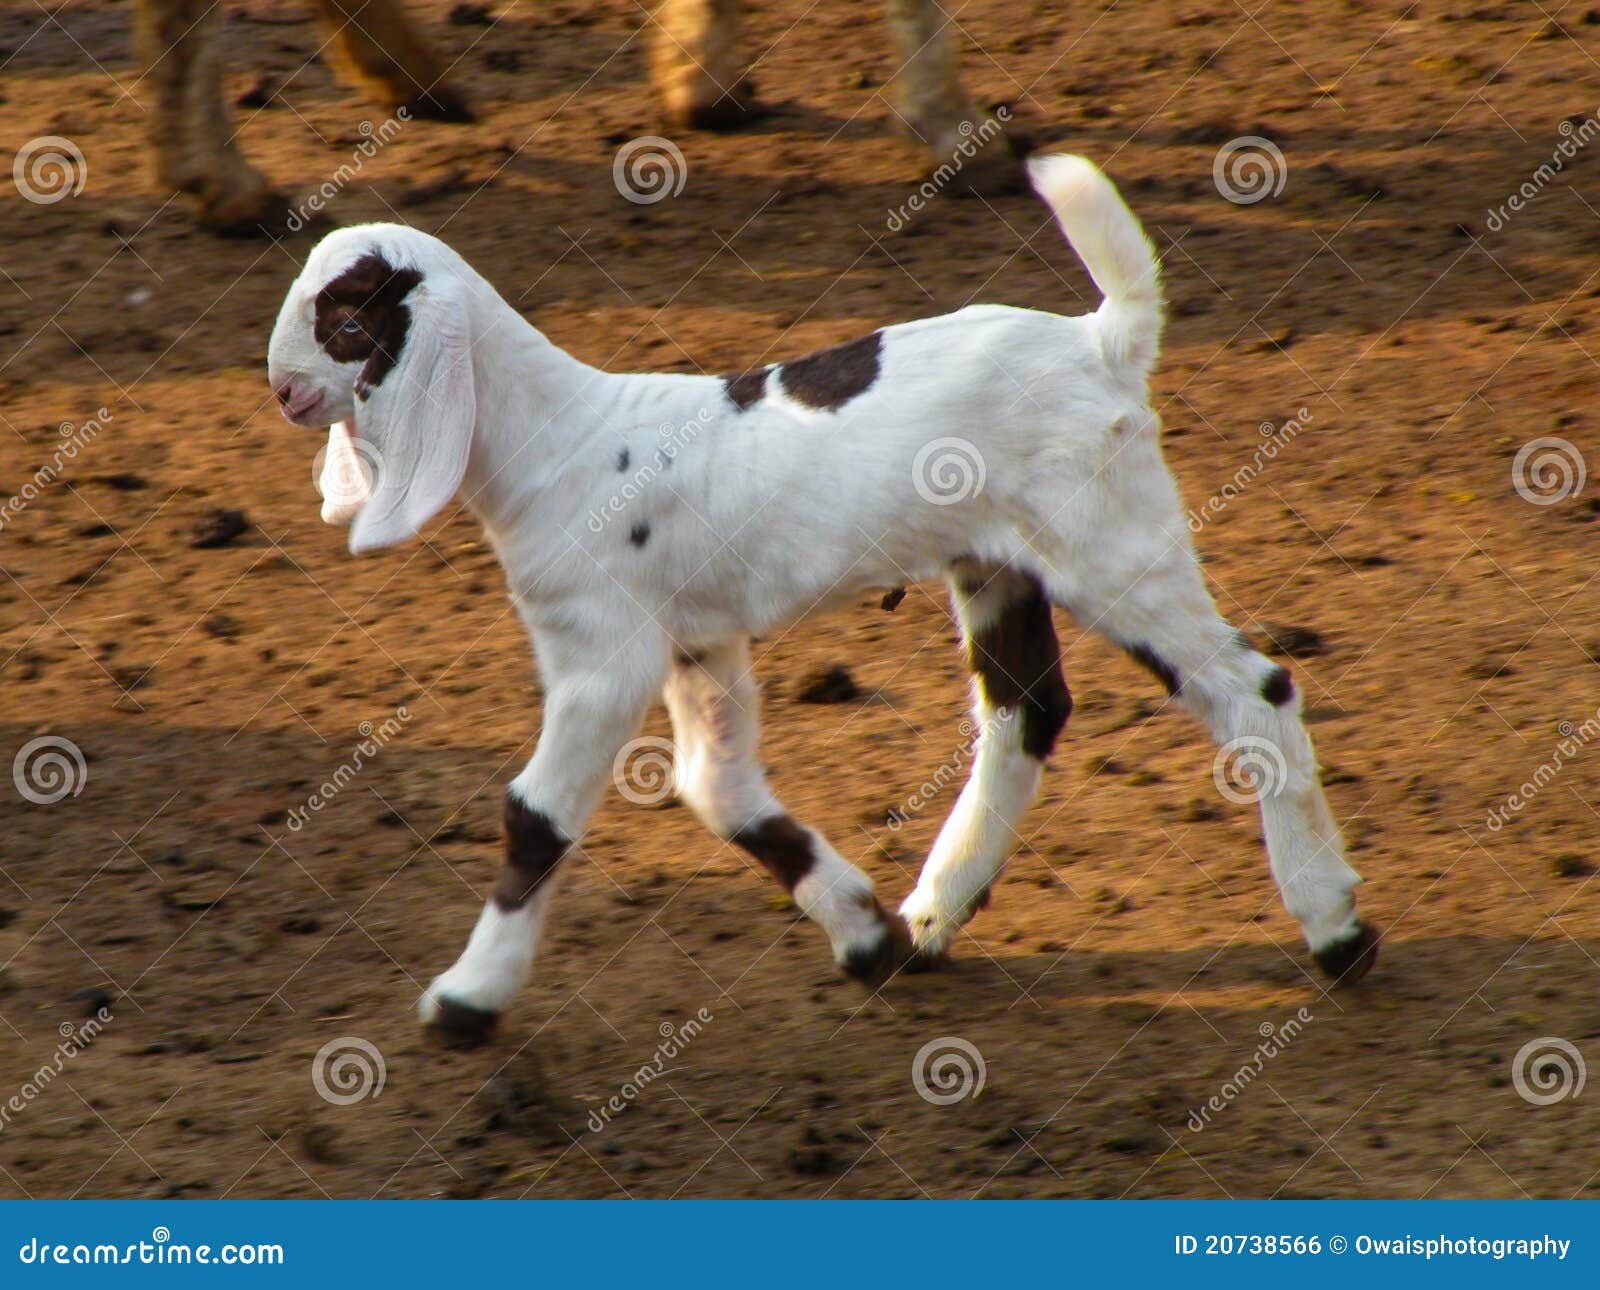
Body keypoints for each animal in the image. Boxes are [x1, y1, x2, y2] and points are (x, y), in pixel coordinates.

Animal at [266, 154, 1378, 1044]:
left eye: (348, 320)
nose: (281, 391)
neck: (559, 439)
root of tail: (1101, 341)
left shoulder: (602, 654)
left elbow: (536, 814)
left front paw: (466, 1000)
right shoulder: (698, 643)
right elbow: (718, 788)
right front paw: (865, 933)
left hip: (1112, 541)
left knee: (1249, 688)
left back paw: (1336, 929)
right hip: (998, 560)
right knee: (1026, 709)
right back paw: (931, 915)